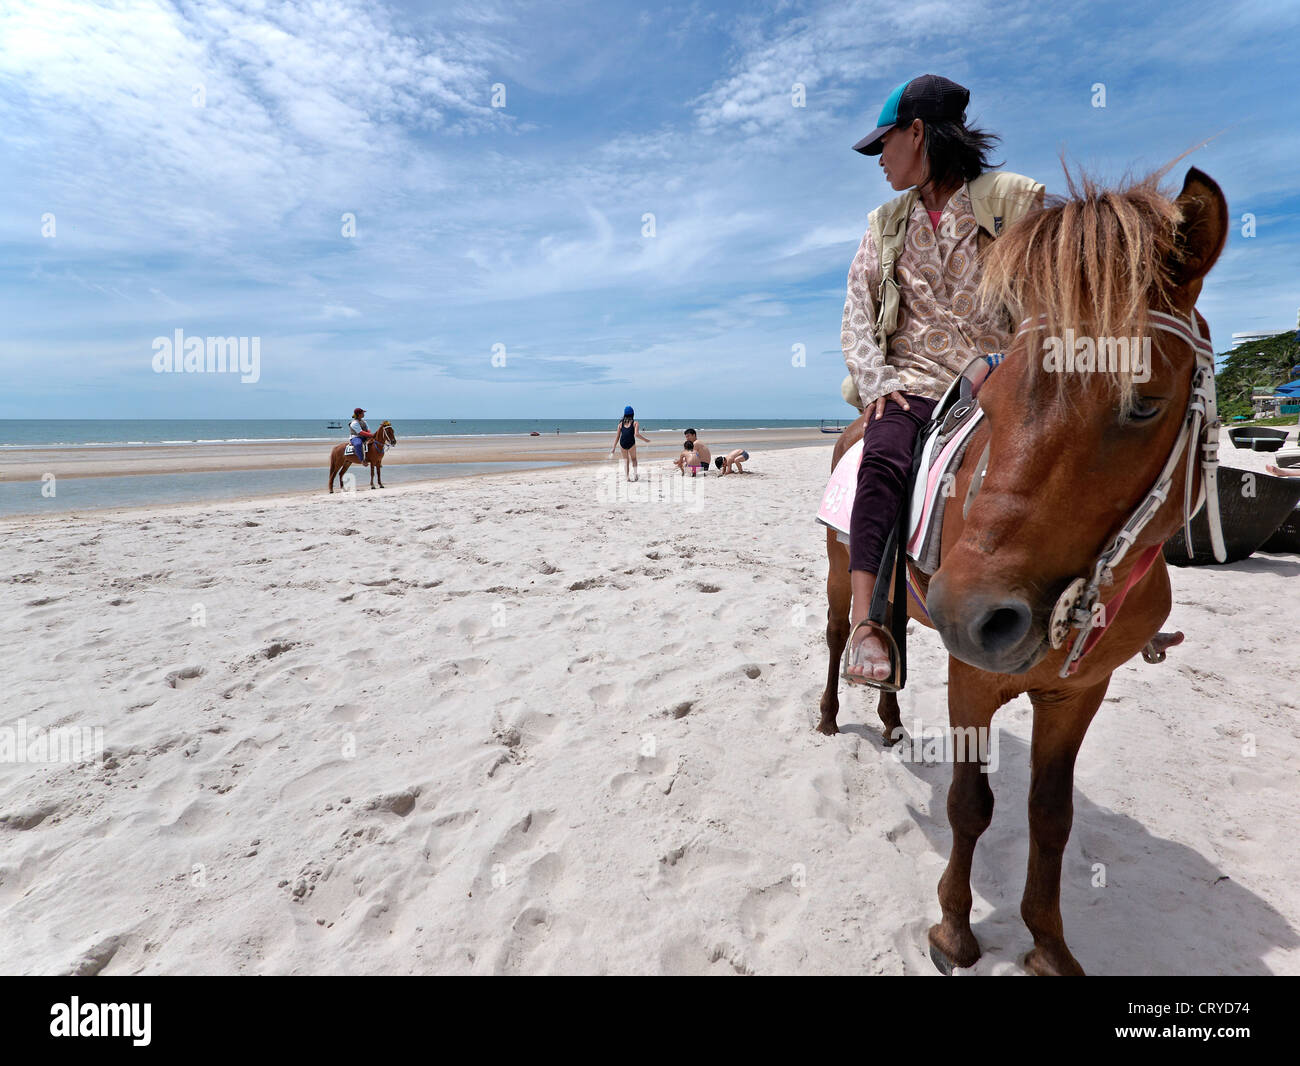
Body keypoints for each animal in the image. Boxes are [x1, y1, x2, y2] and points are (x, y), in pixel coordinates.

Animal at [817, 166, 1228, 976]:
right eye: (999, 395)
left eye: (1145, 403)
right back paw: (829, 711)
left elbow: (1050, 815)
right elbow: (969, 804)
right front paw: (953, 930)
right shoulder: (971, 677)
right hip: (839, 571)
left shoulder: (1078, 692)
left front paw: (1047, 942)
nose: (968, 612)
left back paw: (889, 720)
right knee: (838, 635)